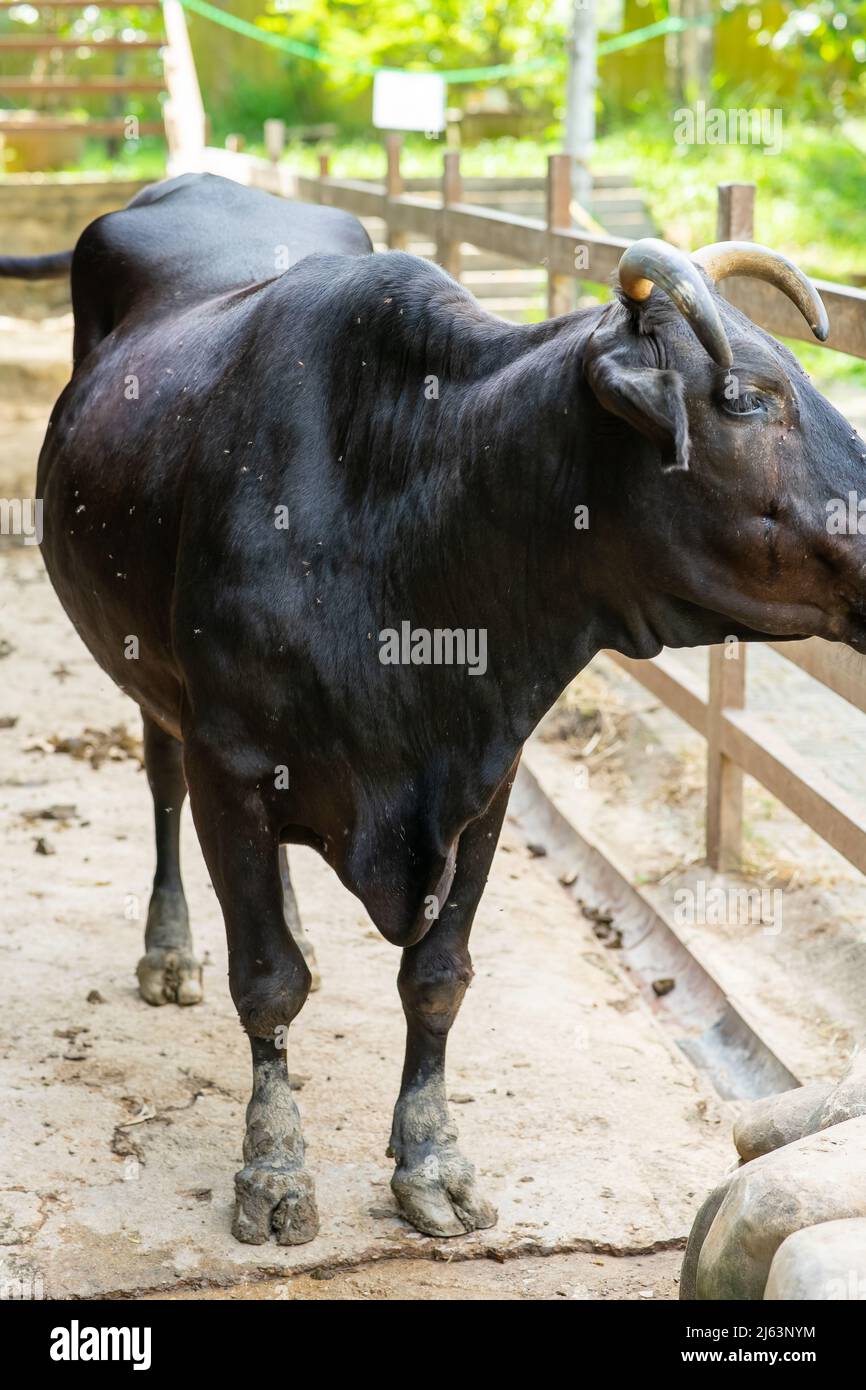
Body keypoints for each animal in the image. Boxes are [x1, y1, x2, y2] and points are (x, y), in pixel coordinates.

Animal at [3, 171, 862, 1246]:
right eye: (747, 397)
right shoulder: (228, 761)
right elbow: (265, 981)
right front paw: (273, 1170)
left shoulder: (483, 783)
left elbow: (436, 978)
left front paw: (431, 1160)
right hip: (147, 676)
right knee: (162, 789)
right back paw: (169, 950)